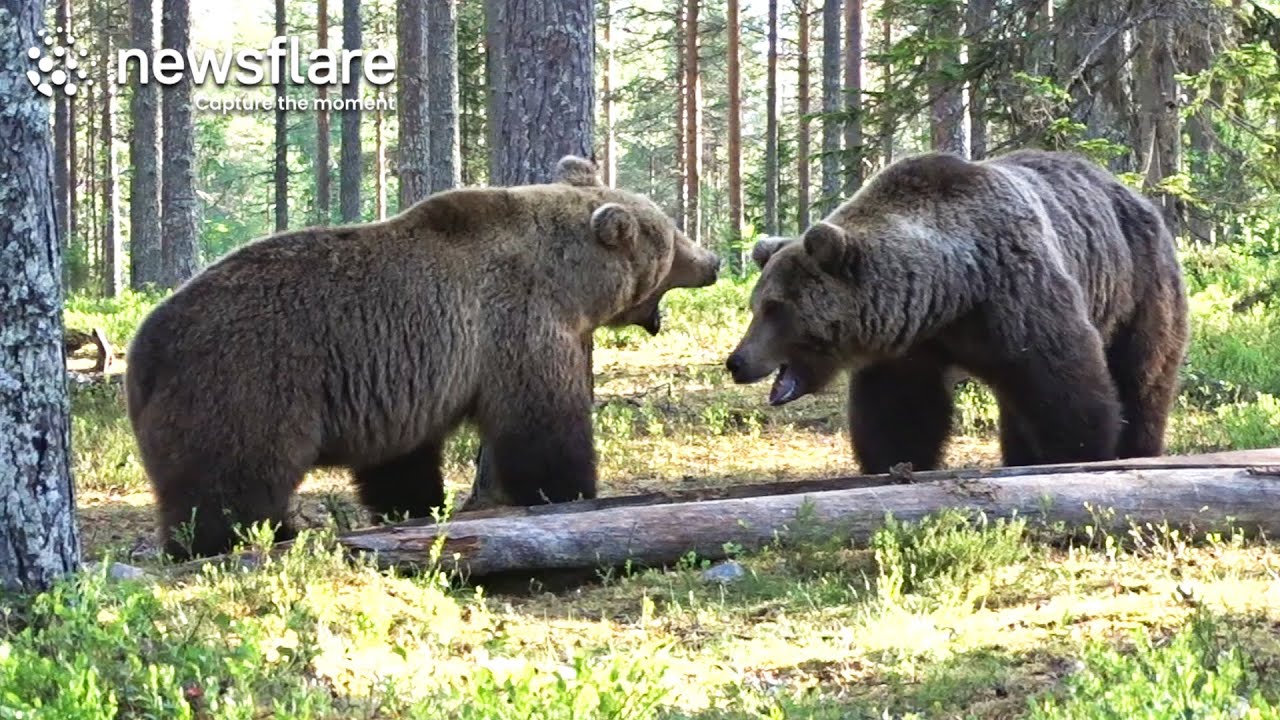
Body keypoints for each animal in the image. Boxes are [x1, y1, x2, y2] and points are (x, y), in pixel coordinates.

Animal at [126, 156, 720, 559]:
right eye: (672, 235)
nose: (712, 260)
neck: (570, 284)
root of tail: (141, 351)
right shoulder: (518, 329)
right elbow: (543, 425)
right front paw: (568, 491)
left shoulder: (403, 386)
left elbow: (401, 461)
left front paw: (418, 508)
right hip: (246, 379)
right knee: (232, 475)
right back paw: (241, 537)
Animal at [725, 149, 1189, 473]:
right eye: (755, 305)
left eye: (776, 308)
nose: (737, 361)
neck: (951, 291)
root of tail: (1136, 196)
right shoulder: (909, 346)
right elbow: (899, 409)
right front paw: (892, 460)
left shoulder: (1018, 295)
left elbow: (1068, 382)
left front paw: (1080, 450)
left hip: (1140, 286)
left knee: (1142, 374)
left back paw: (1139, 447)